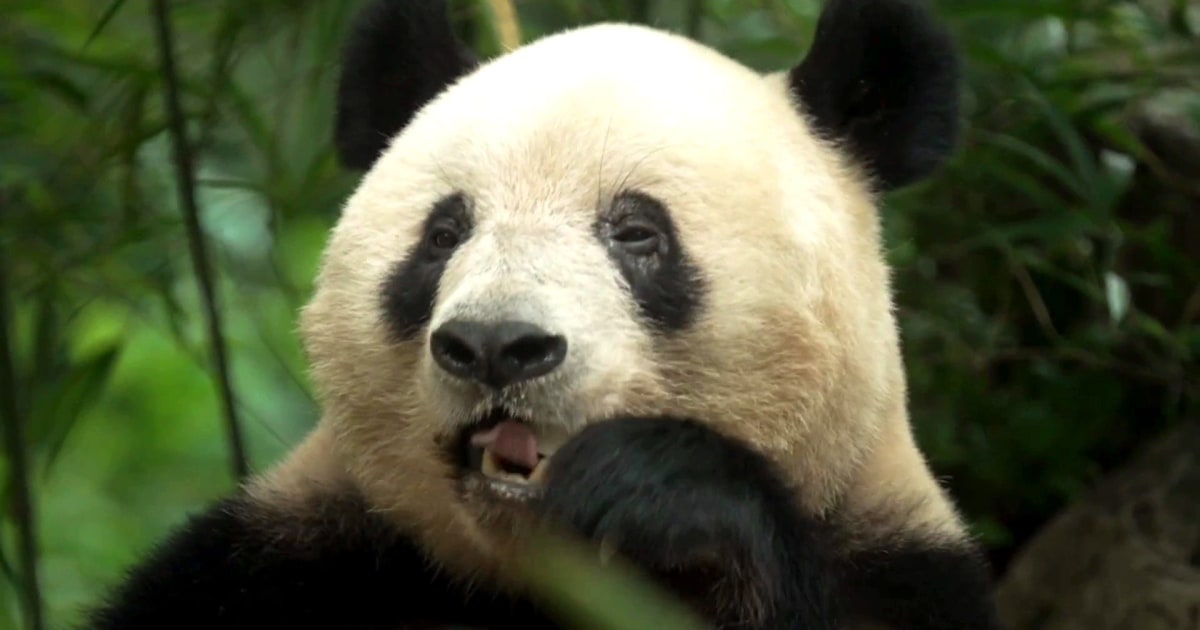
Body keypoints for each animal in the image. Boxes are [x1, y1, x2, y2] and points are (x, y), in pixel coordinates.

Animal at [86, 0, 1000, 628]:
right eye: (444, 233)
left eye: (636, 232)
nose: (495, 346)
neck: (541, 577)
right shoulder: (284, 559)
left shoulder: (894, 563)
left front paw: (664, 492)